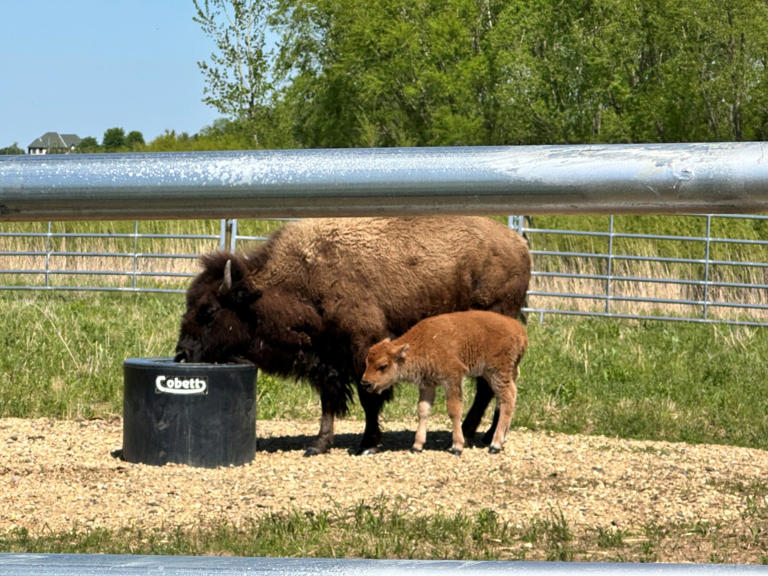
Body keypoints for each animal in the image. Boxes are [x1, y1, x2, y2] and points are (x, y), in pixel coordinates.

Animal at [174, 216, 531, 455]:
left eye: (208, 310)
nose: (182, 354)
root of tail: (520, 245)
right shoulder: (324, 359)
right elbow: (329, 400)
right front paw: (319, 444)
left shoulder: (363, 350)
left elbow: (368, 397)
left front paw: (368, 443)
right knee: (495, 386)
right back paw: (481, 433)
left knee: (490, 386)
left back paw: (473, 433)